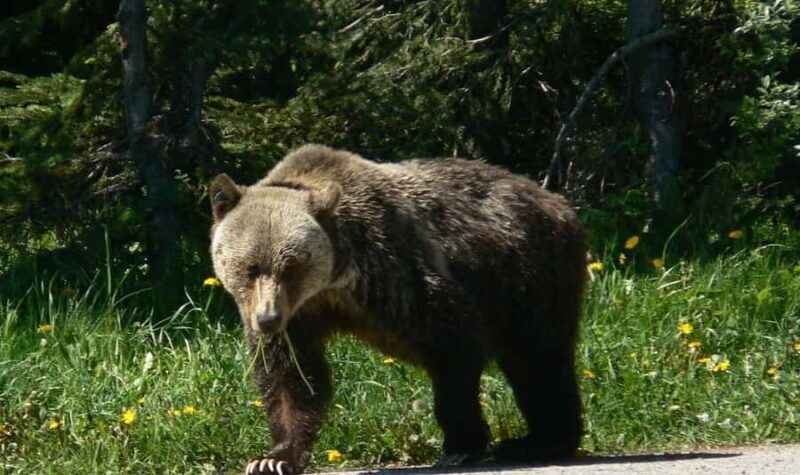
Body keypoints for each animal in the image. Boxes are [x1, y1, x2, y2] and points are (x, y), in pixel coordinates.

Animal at [209, 145, 586, 475]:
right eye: (251, 267)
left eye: (291, 266)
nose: (267, 319)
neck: (332, 284)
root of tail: (558, 201)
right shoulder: (298, 317)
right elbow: (291, 377)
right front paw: (273, 458)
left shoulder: (392, 269)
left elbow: (453, 339)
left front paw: (461, 444)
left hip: (528, 272)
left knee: (538, 358)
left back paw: (542, 440)